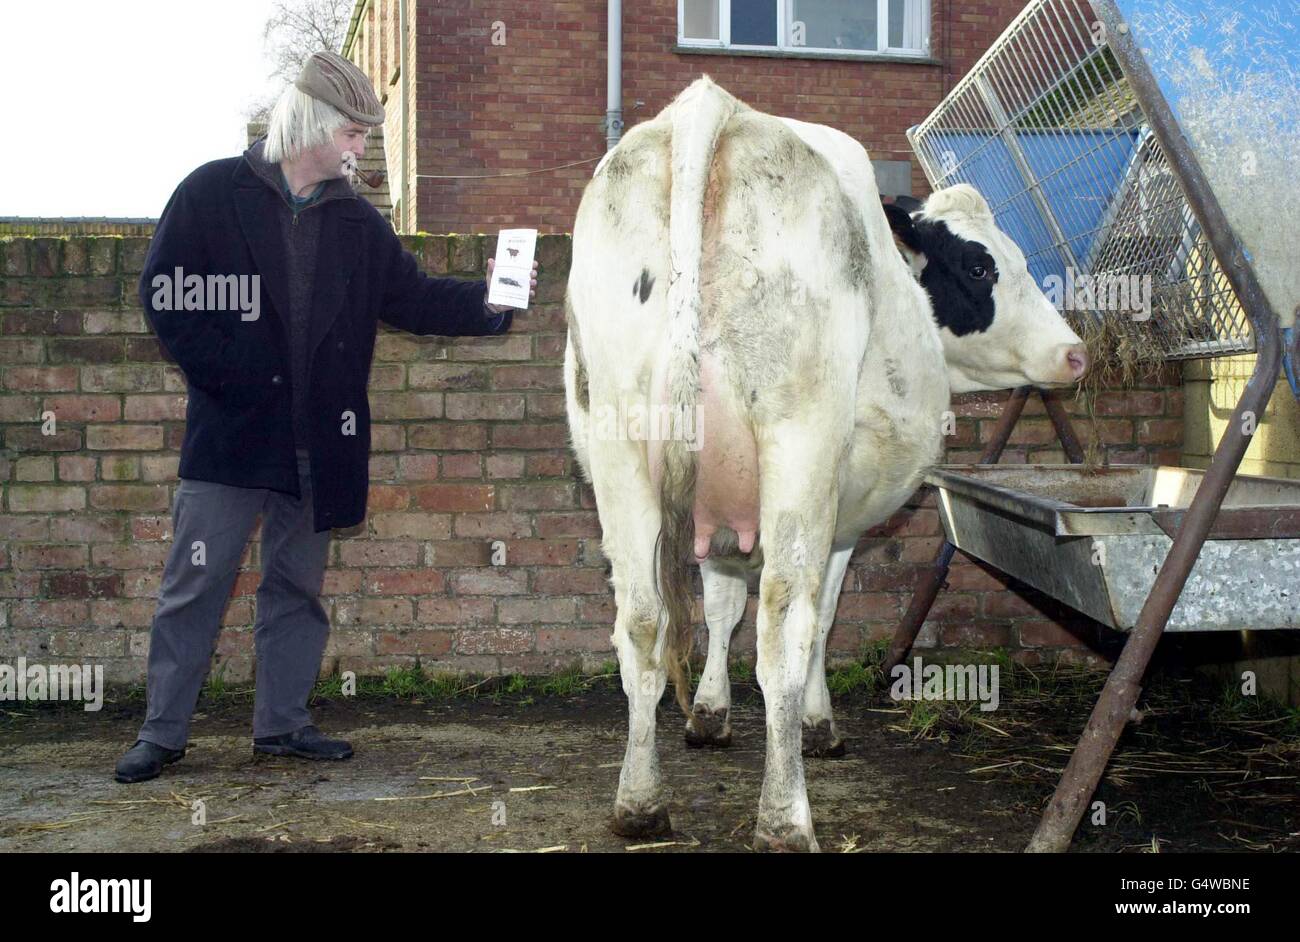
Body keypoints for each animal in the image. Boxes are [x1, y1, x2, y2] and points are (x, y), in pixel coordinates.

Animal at [563, 75, 1087, 852]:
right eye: (981, 263)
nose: (1074, 353)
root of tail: (711, 109)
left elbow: (720, 604)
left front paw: (708, 714)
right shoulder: (840, 515)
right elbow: (822, 616)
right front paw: (817, 725)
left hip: (619, 449)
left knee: (643, 624)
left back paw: (640, 803)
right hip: (798, 445)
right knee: (785, 627)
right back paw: (786, 818)